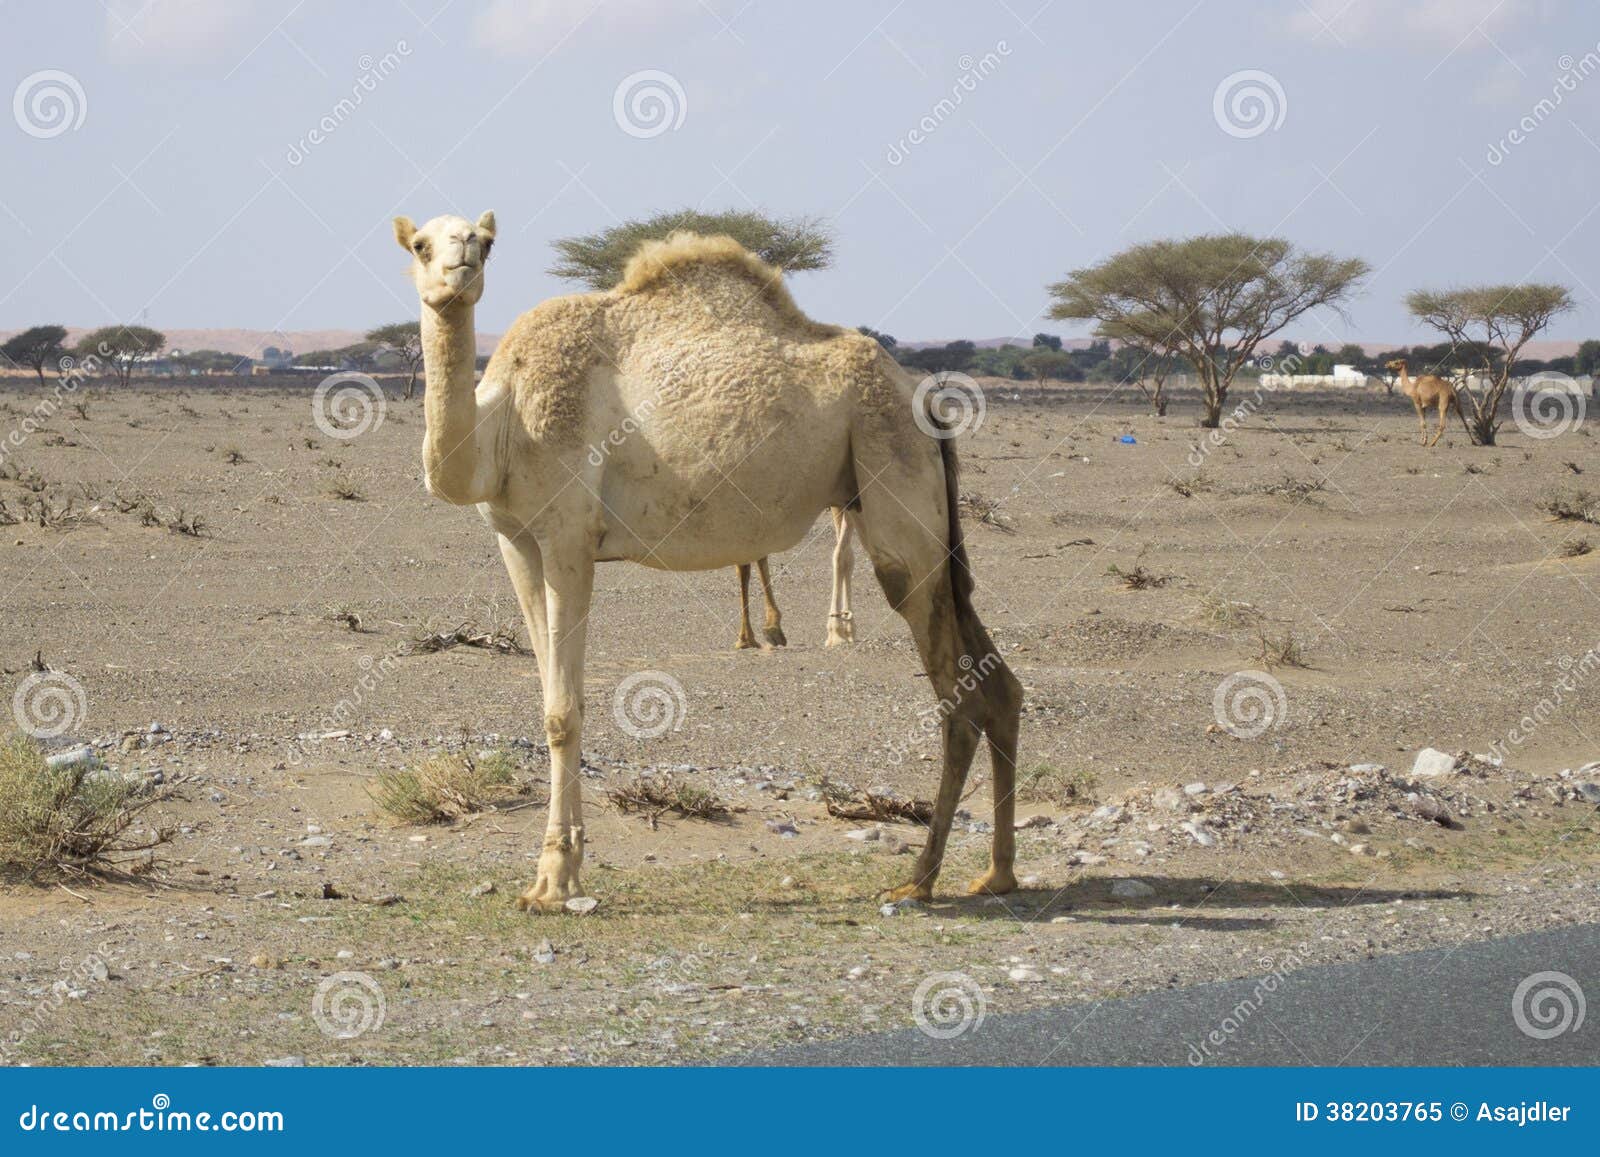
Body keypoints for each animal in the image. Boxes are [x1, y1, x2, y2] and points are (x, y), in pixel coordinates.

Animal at [394, 212, 1022, 912]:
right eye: (421, 244)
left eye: (484, 241)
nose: (460, 266)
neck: (502, 423)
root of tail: (925, 402)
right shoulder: (518, 541)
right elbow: (553, 698)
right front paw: (556, 876)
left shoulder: (568, 538)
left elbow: (564, 711)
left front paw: (555, 880)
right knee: (998, 684)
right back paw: (995, 873)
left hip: (894, 481)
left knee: (954, 694)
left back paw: (921, 877)